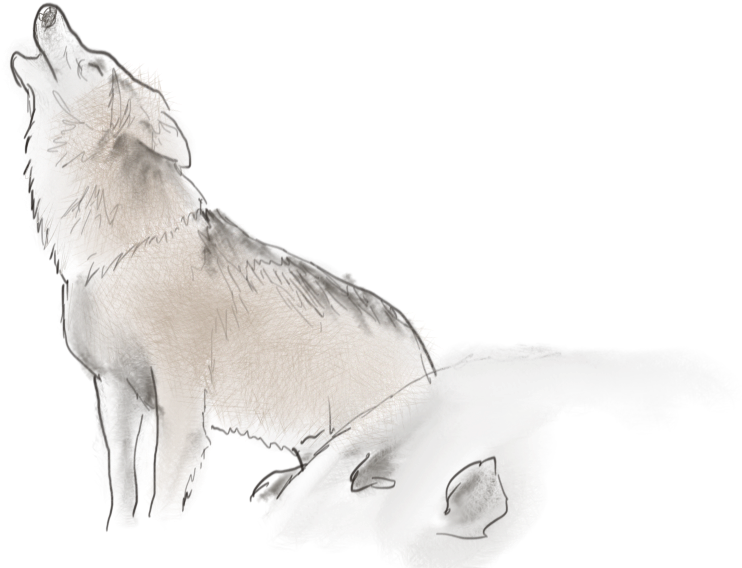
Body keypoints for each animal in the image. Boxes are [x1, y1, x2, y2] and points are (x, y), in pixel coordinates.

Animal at [5, 4, 441, 527]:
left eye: (99, 57)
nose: (49, 8)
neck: (125, 251)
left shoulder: (182, 406)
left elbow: (163, 500)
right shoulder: (114, 395)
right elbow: (124, 497)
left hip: (358, 431)